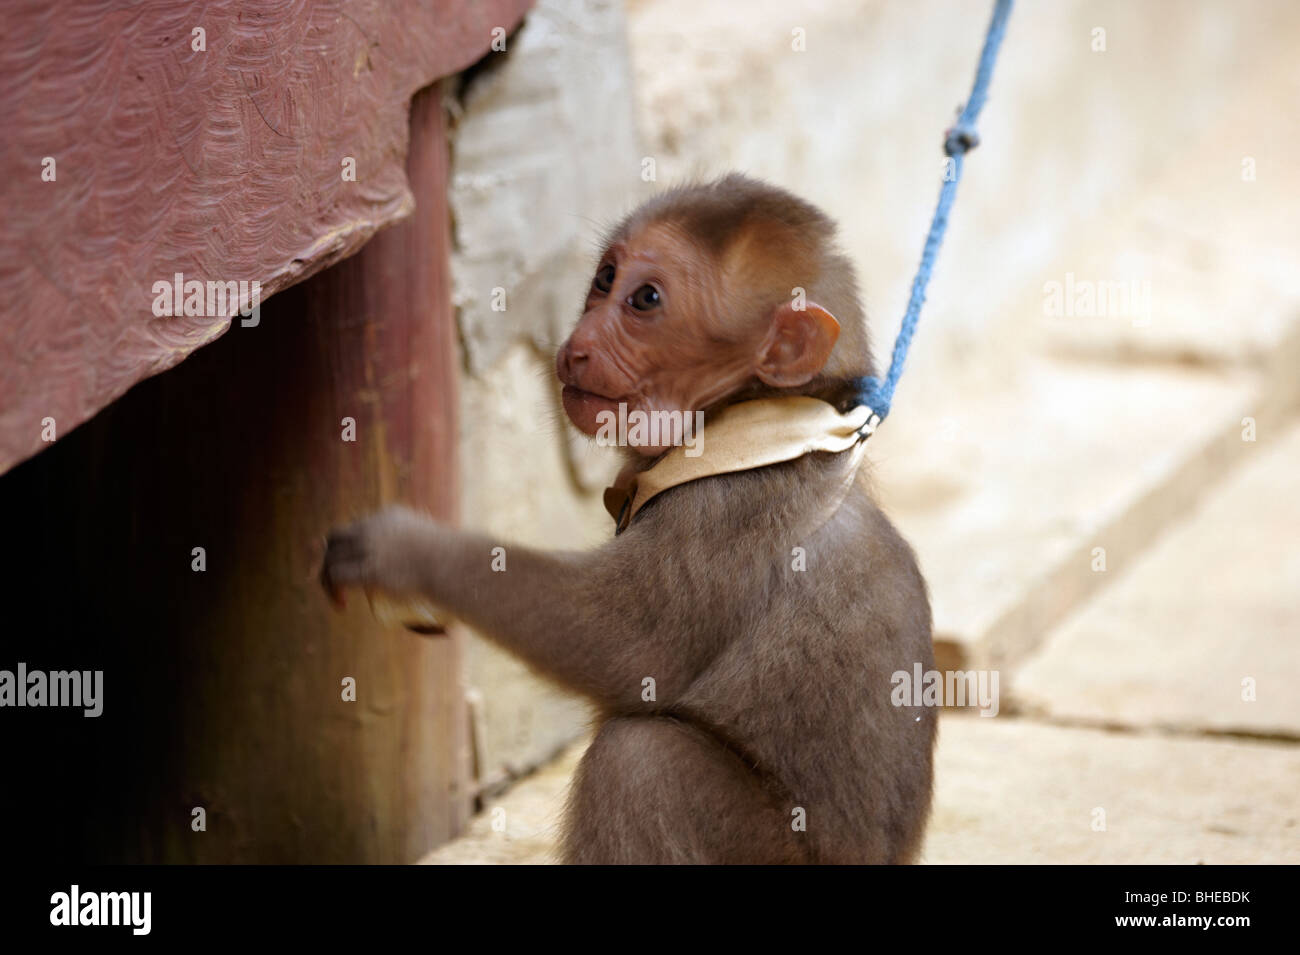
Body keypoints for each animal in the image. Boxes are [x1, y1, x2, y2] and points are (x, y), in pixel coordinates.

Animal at [321, 173, 936, 864]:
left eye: (645, 300)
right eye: (605, 278)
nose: (579, 345)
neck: (749, 415)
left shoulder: (725, 512)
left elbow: (627, 646)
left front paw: (403, 554)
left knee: (639, 763)